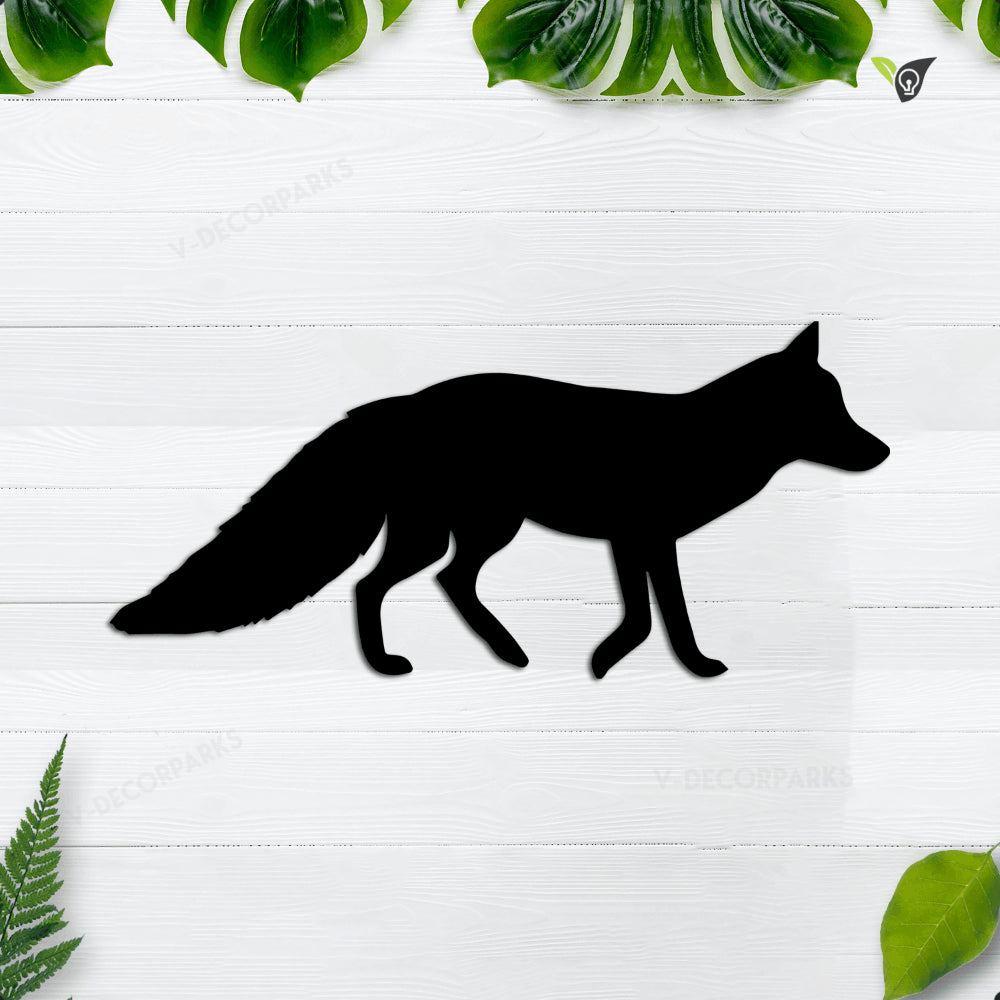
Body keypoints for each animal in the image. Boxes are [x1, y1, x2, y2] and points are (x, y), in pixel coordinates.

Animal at [111, 322, 889, 680]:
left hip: (466, 530)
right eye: (830, 415)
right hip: (475, 528)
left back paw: (502, 651)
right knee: (386, 585)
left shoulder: (632, 542)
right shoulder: (647, 538)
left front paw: (616, 660)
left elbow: (646, 614)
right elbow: (663, 615)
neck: (709, 437)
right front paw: (659, 664)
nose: (881, 452)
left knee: (430, 582)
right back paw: (408, 662)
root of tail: (402, 404)